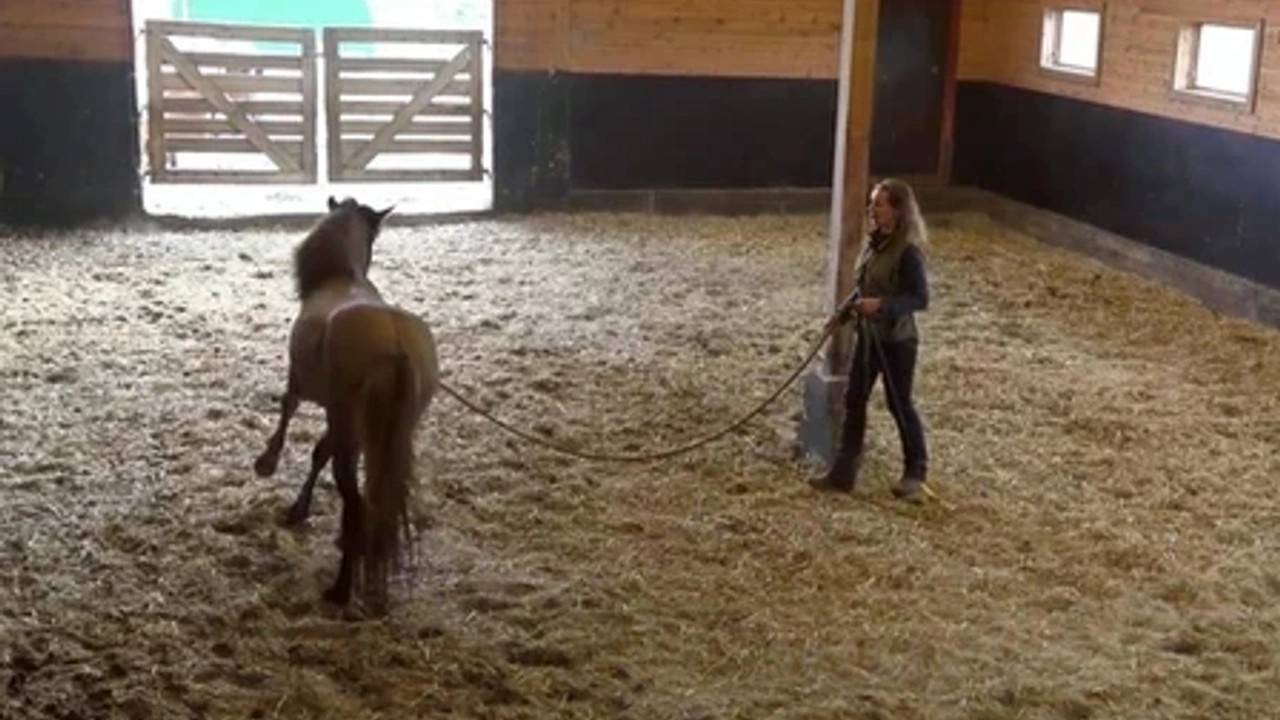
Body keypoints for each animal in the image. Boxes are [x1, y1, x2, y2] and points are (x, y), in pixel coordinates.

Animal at [253, 196, 439, 611]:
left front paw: (267, 462)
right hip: (384, 440)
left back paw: (341, 587)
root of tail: (395, 345)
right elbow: (318, 451)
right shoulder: (337, 417)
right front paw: (298, 507)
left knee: (355, 503)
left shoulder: (305, 386)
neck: (341, 277)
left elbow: (288, 408)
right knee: (377, 501)